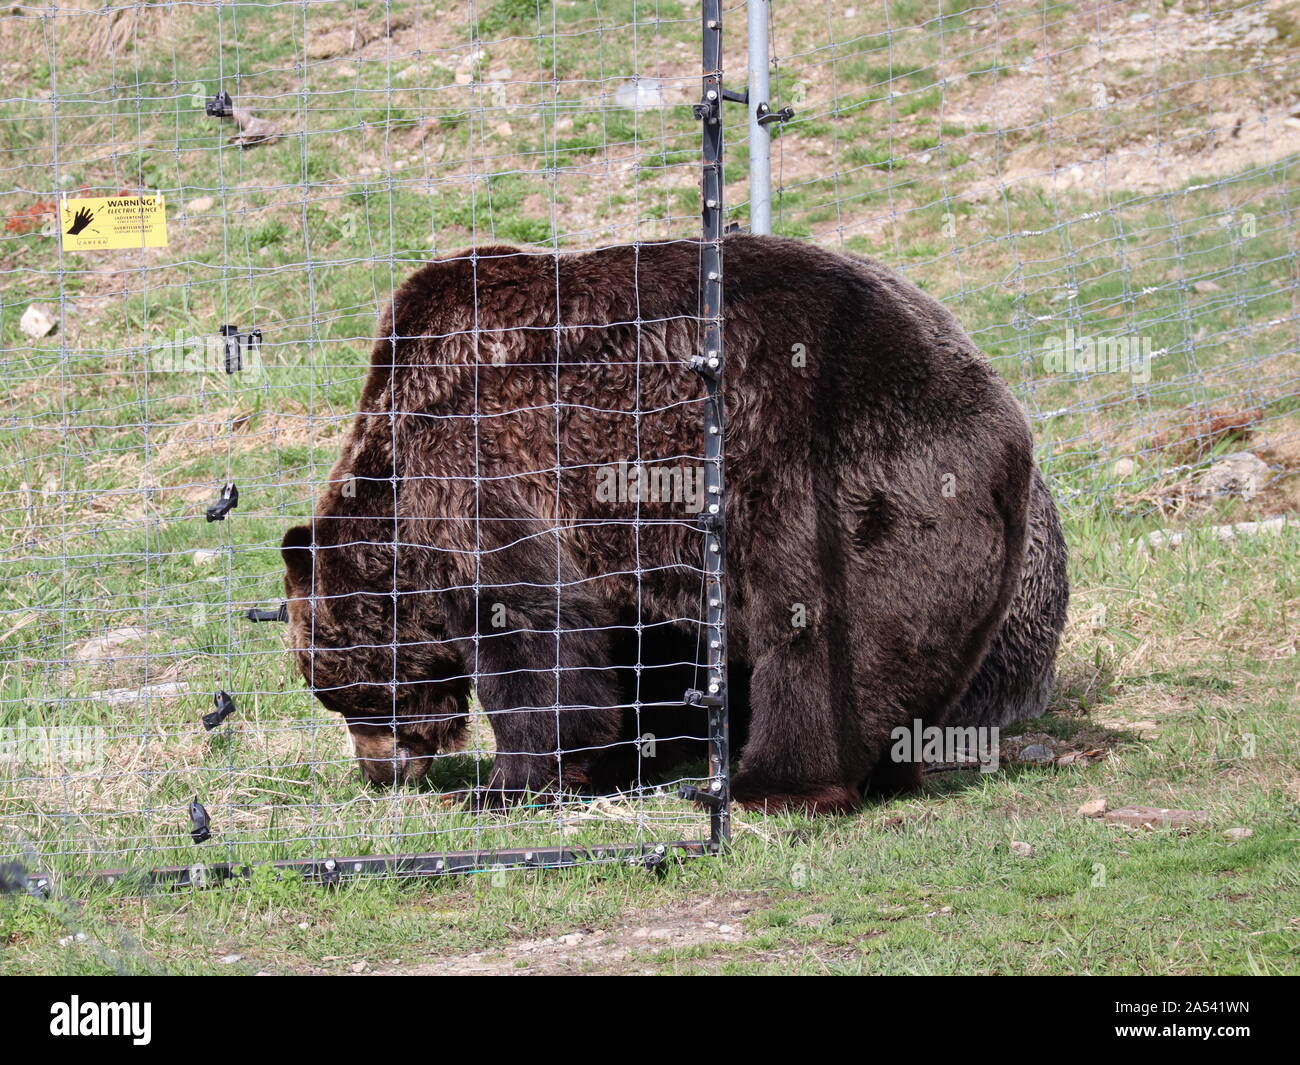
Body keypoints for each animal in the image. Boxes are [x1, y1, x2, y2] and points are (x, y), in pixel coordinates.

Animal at [281, 233, 1060, 812]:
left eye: (347, 694)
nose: (380, 772)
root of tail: (1005, 418)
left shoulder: (476, 460)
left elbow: (530, 631)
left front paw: (501, 784)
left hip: (836, 481)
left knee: (820, 638)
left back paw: (771, 783)